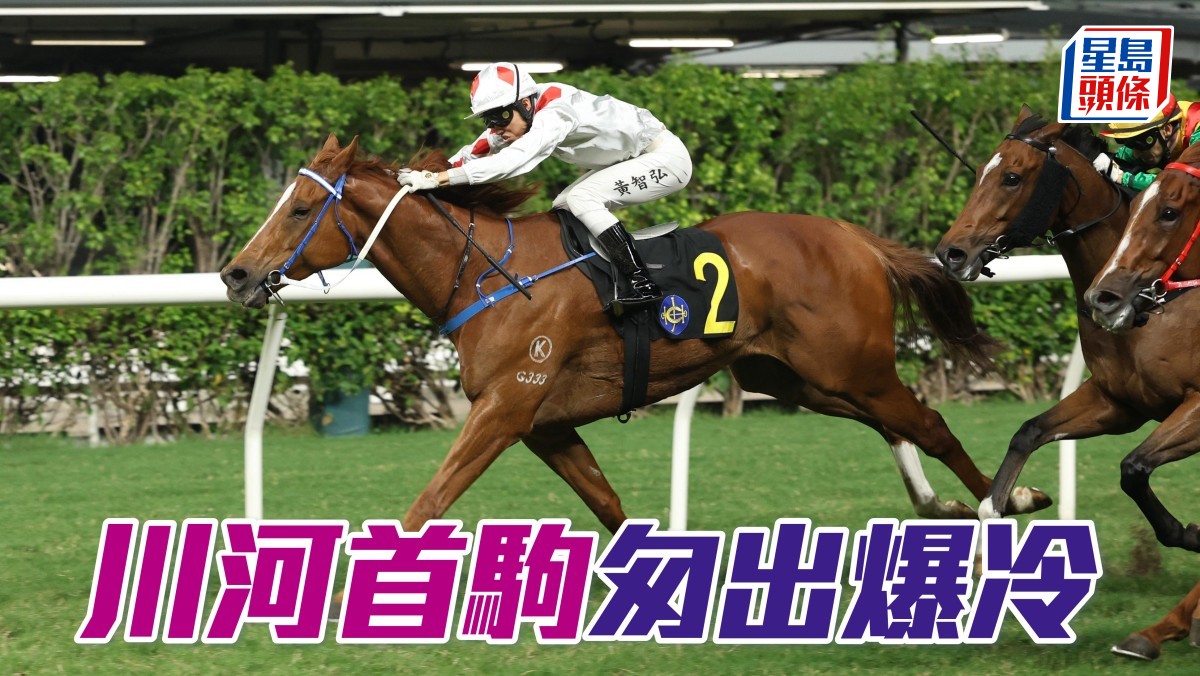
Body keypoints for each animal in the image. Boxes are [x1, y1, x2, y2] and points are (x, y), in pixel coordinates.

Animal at [221, 133, 1048, 534]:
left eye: (301, 210)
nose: (235, 273)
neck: (489, 277)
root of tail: (854, 237)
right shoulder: (545, 425)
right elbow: (609, 505)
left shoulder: (506, 409)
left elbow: (428, 502)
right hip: (800, 377)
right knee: (893, 423)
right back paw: (953, 504)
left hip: (853, 366)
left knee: (930, 422)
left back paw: (1007, 501)